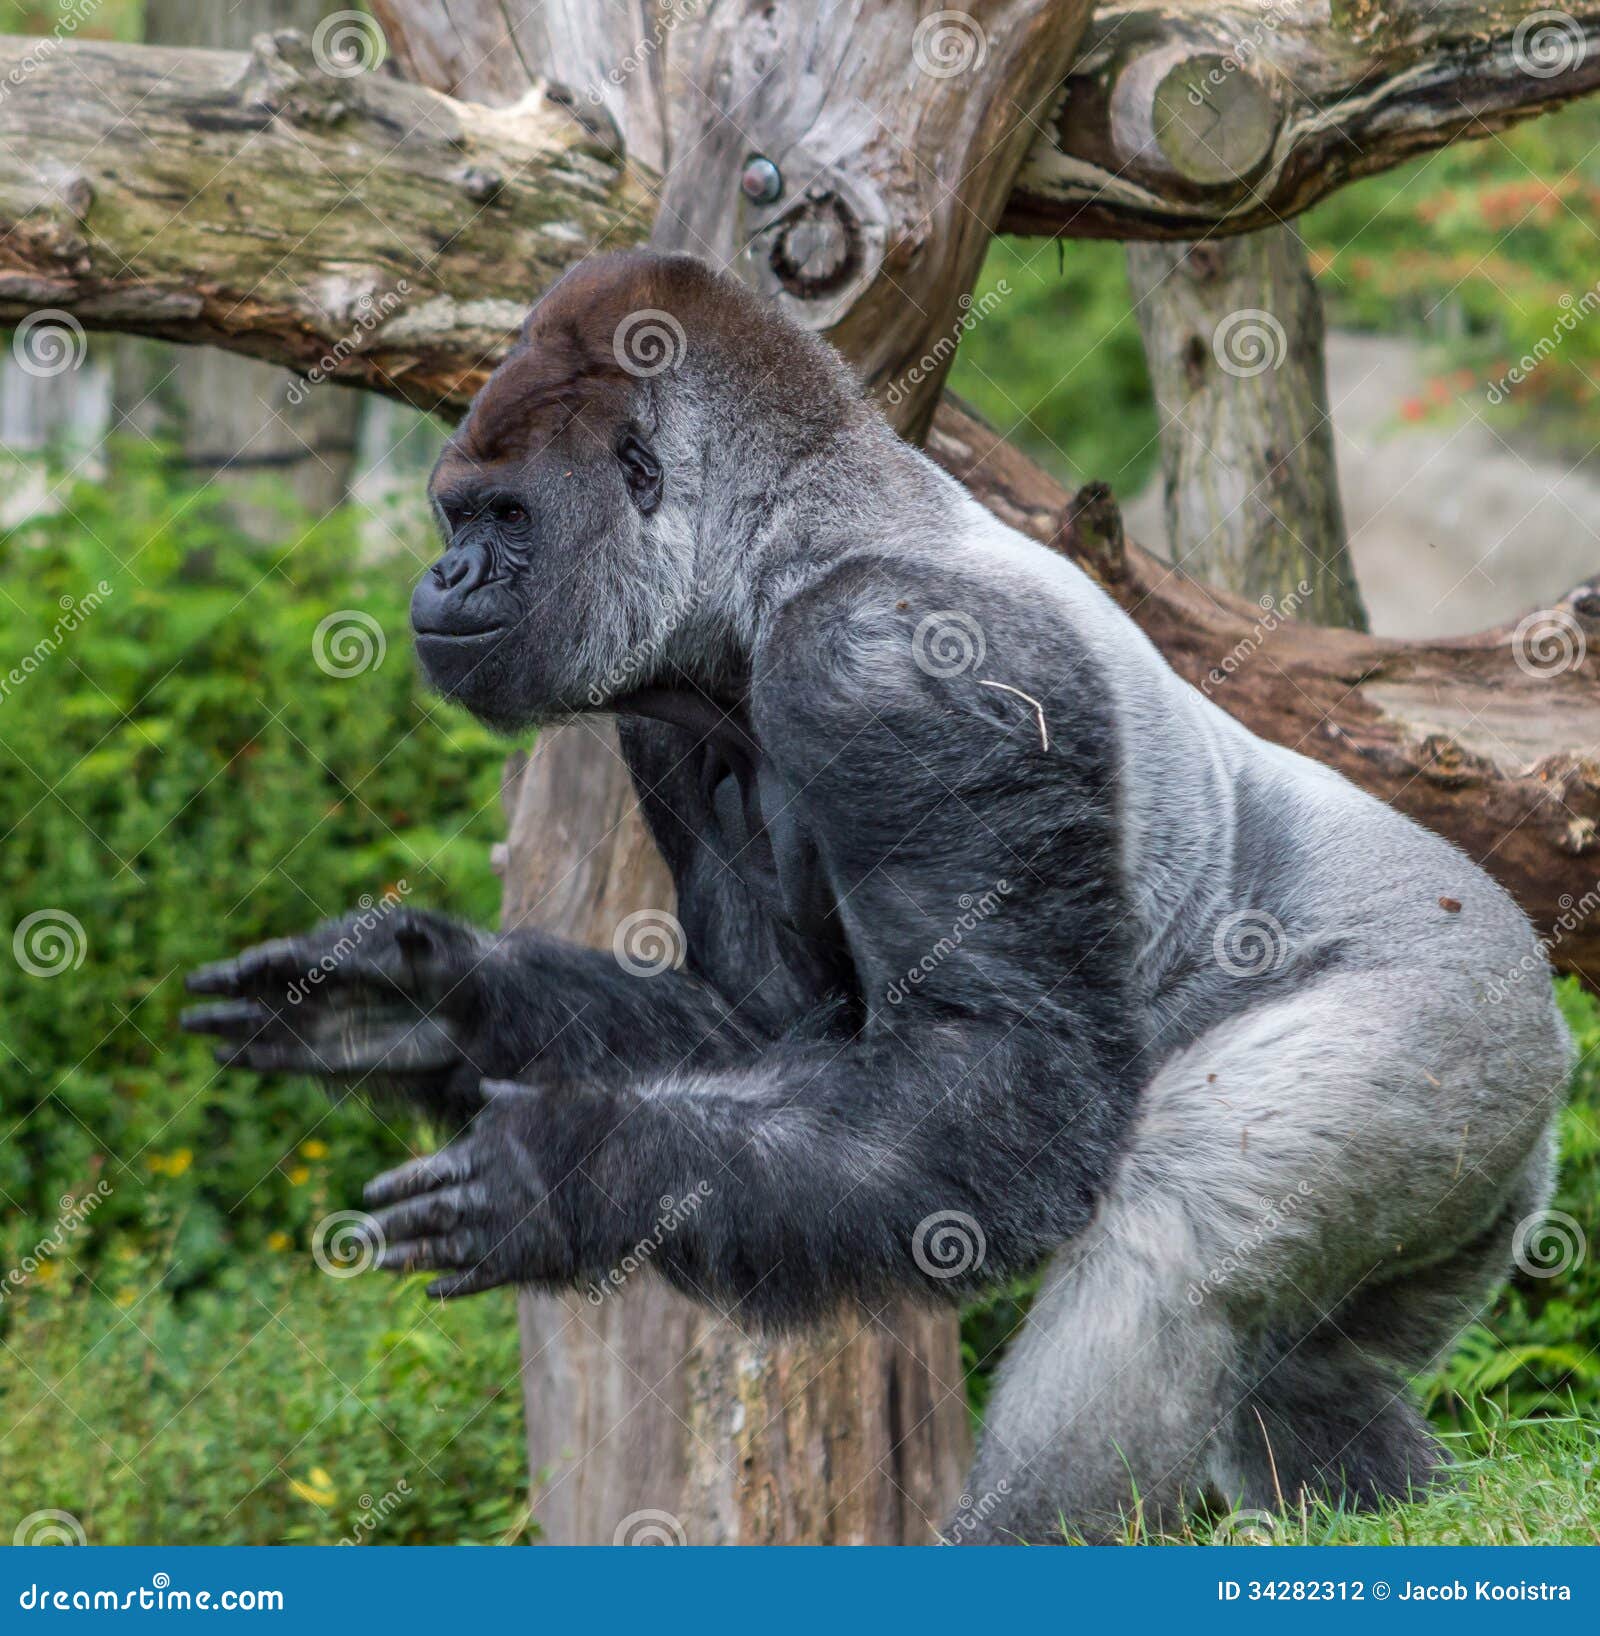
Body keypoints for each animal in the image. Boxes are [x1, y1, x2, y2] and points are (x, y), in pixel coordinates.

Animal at [183, 249, 1572, 1543]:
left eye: (508, 517)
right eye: (453, 515)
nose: (447, 580)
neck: (777, 551)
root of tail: (1550, 1029)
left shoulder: (896, 664)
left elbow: (997, 1069)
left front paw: (570, 1176)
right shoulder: (669, 720)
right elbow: (763, 1035)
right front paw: (425, 1003)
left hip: (1456, 1014)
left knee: (1176, 1244)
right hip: (1482, 1172)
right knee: (1307, 1376)